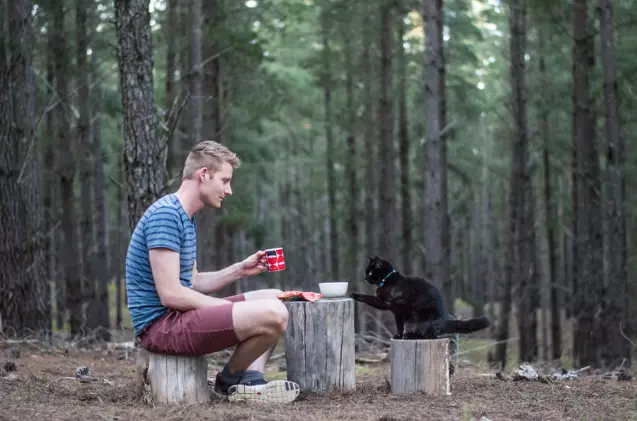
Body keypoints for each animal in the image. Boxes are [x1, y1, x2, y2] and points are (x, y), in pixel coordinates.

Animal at [350, 254, 490, 340]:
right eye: (366, 272)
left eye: (370, 272)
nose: (365, 278)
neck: (388, 279)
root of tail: (445, 320)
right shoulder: (393, 309)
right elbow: (398, 324)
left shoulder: (393, 307)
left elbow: (370, 299)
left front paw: (355, 294)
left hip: (422, 319)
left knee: (429, 335)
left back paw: (411, 336)